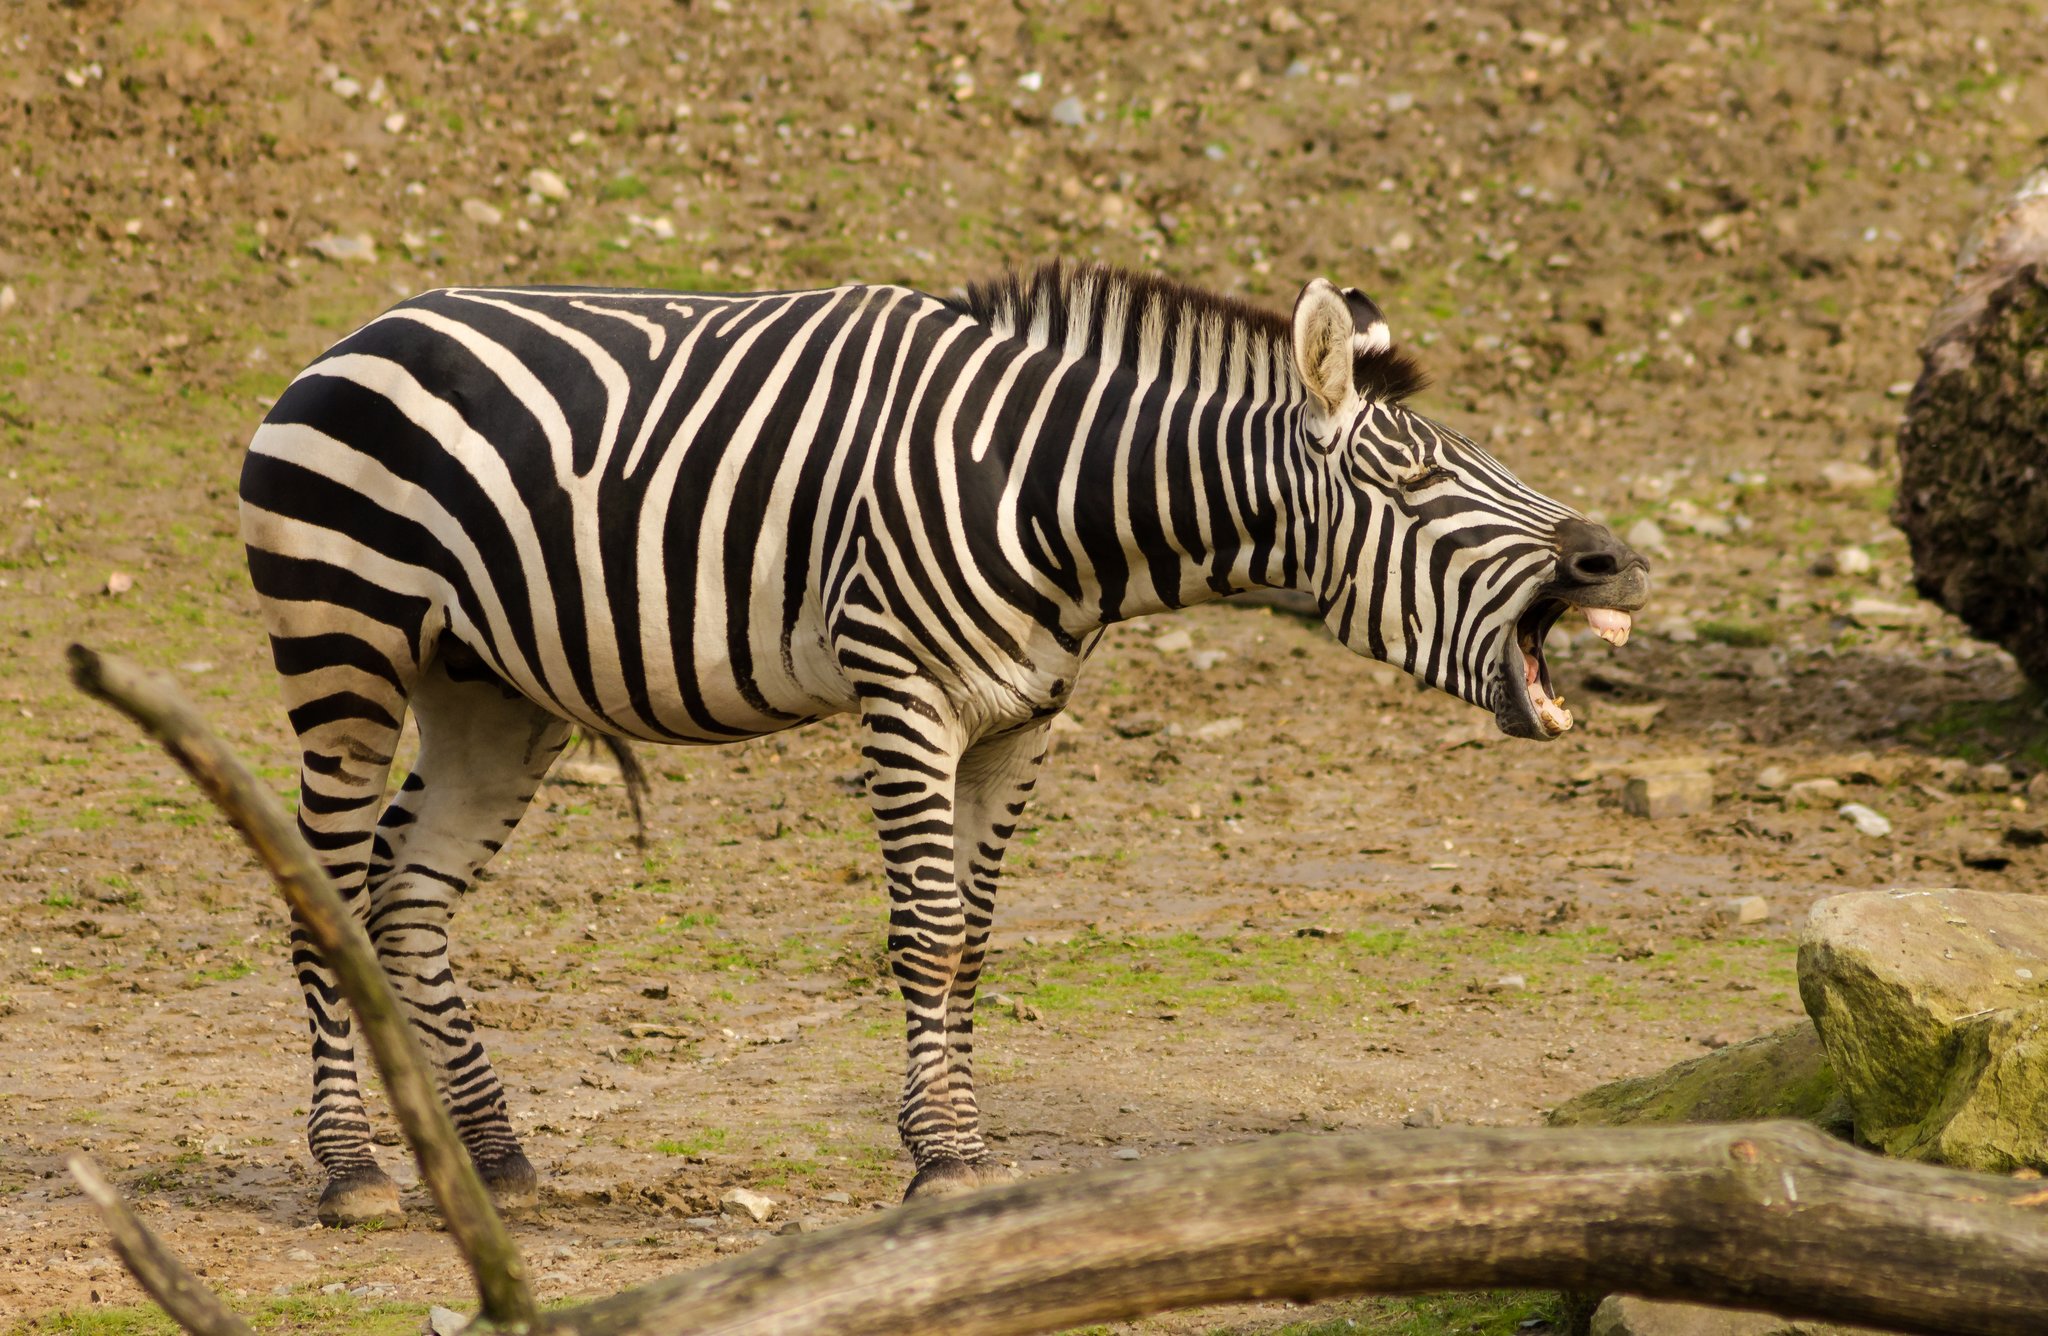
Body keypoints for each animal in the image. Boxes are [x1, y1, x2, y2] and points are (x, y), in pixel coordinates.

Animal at [238, 261, 1649, 1223]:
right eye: (1413, 482)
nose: (1613, 559)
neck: (1054, 495)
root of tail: (365, 330)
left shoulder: (1022, 717)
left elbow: (970, 936)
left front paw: (958, 1143)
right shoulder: (903, 689)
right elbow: (920, 928)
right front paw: (946, 1160)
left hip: (490, 688)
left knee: (407, 895)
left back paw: (495, 1156)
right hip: (346, 645)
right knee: (326, 885)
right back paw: (353, 1171)